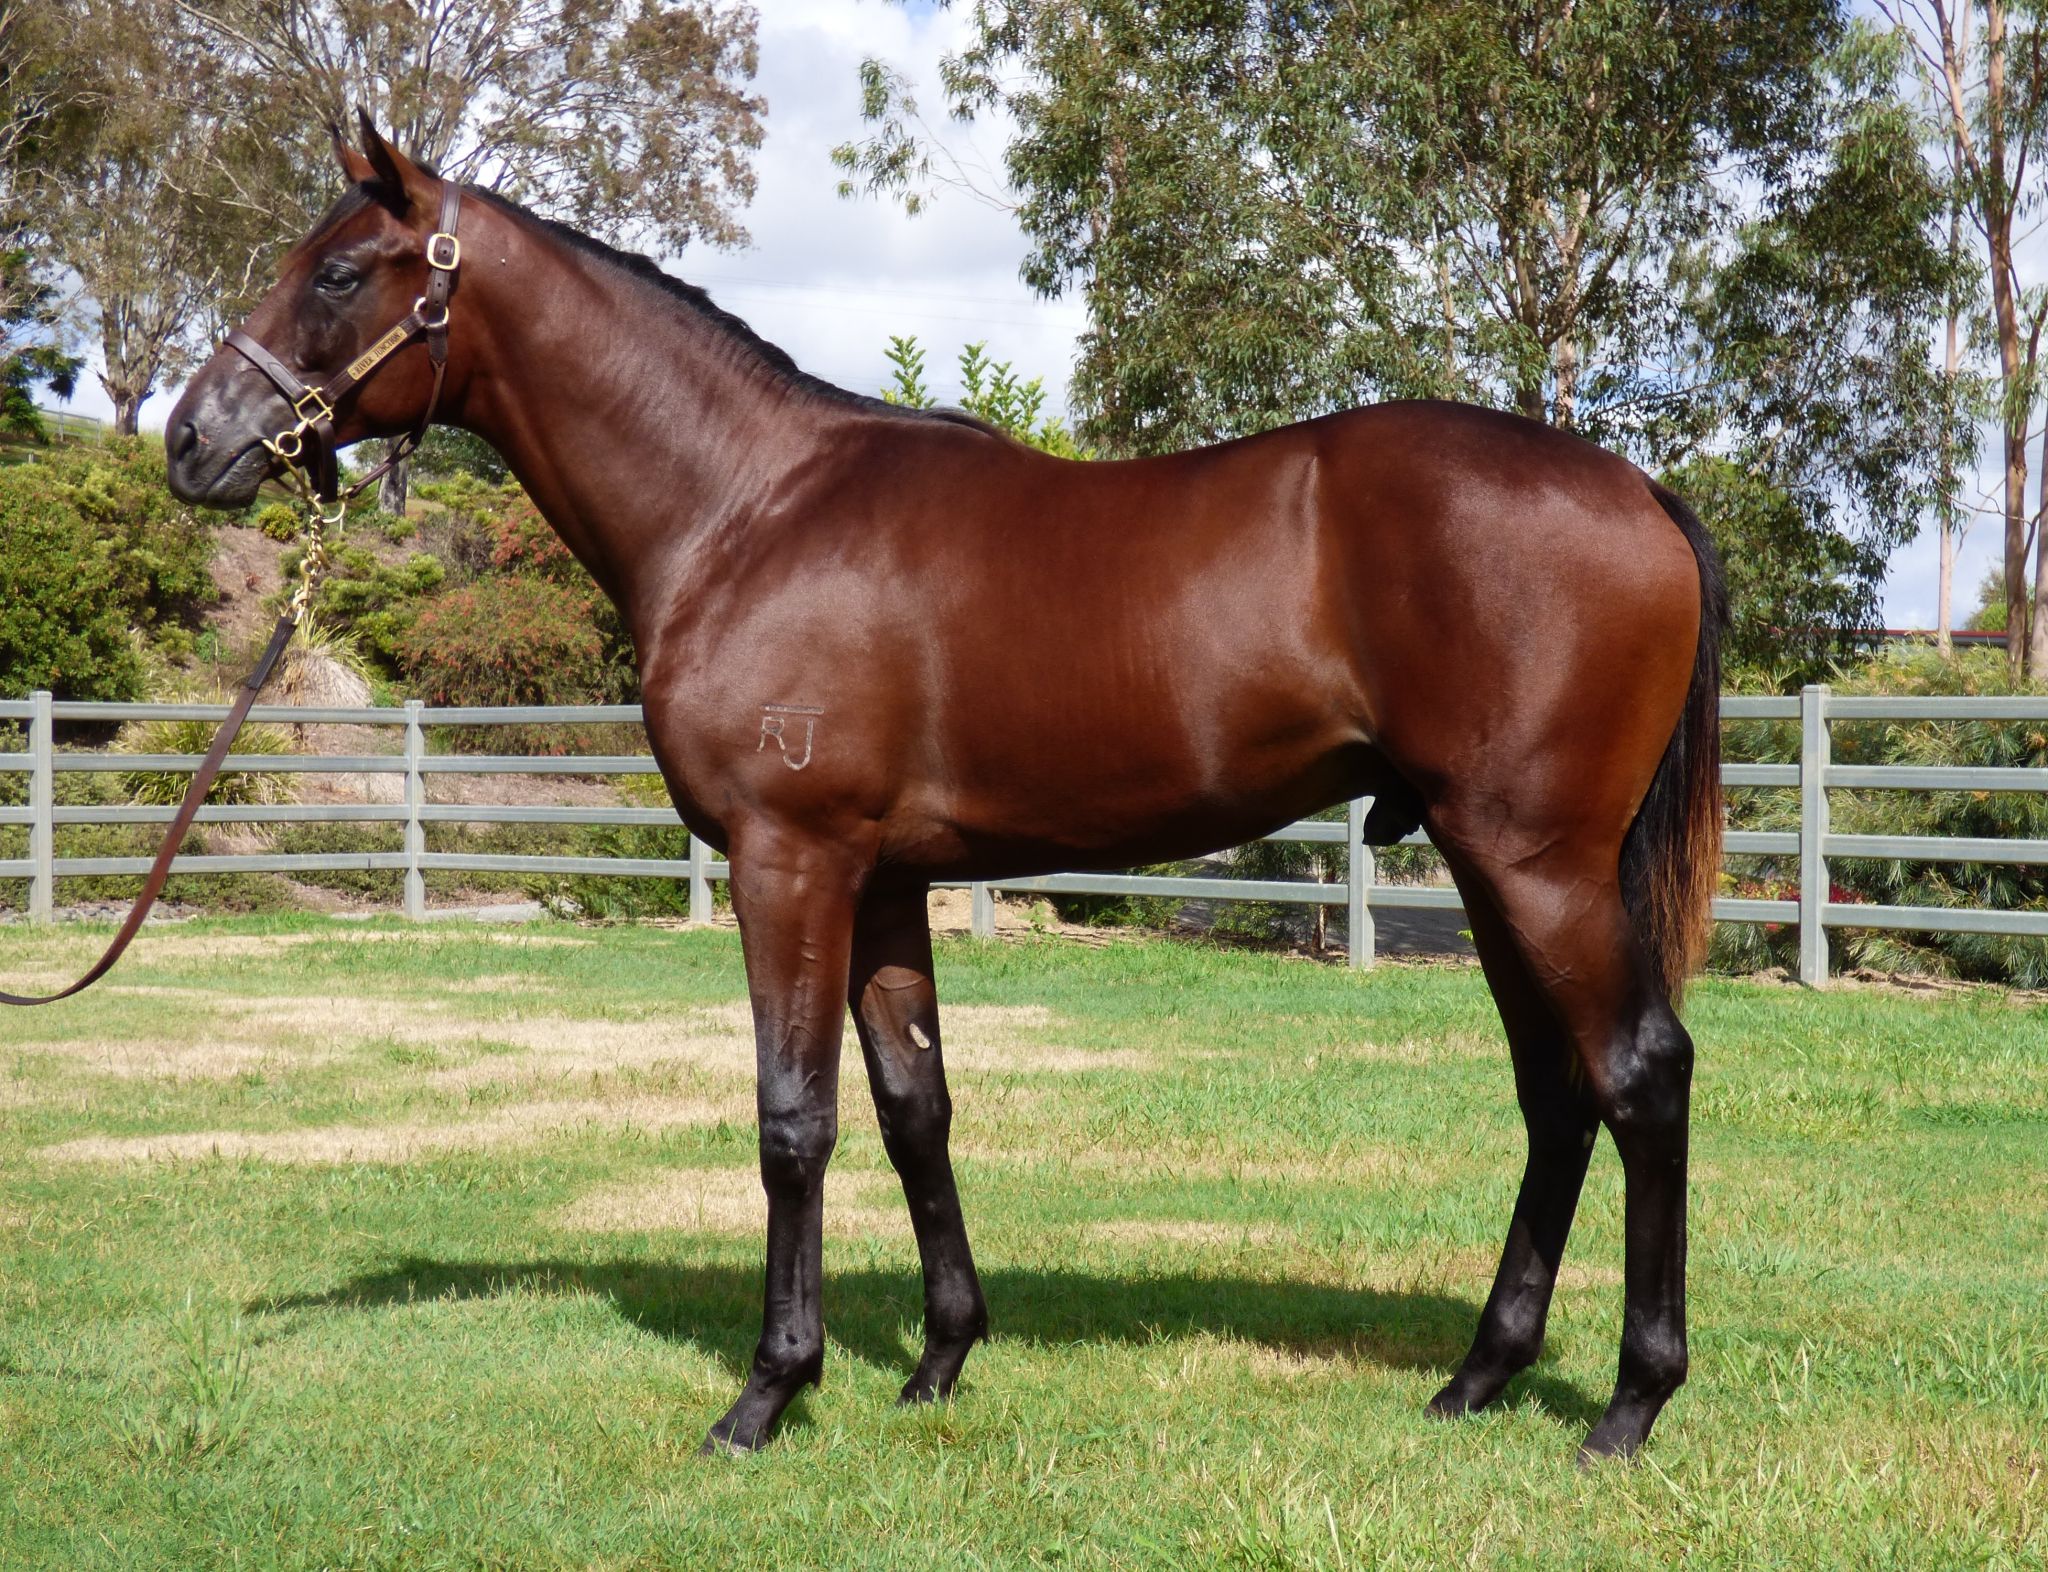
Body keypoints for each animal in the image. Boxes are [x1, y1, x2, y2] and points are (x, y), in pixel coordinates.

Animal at [166, 118, 1723, 1463]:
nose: (189, 441)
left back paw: (1629, 1407)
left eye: (341, 271)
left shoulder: (788, 860)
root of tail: (1637, 491)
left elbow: (793, 1119)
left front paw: (767, 1393)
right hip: (1486, 859)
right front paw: (938, 1362)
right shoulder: (886, 879)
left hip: (1535, 859)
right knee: (1556, 1094)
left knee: (1639, 1075)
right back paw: (1478, 1377)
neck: (743, 507)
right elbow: (915, 1106)